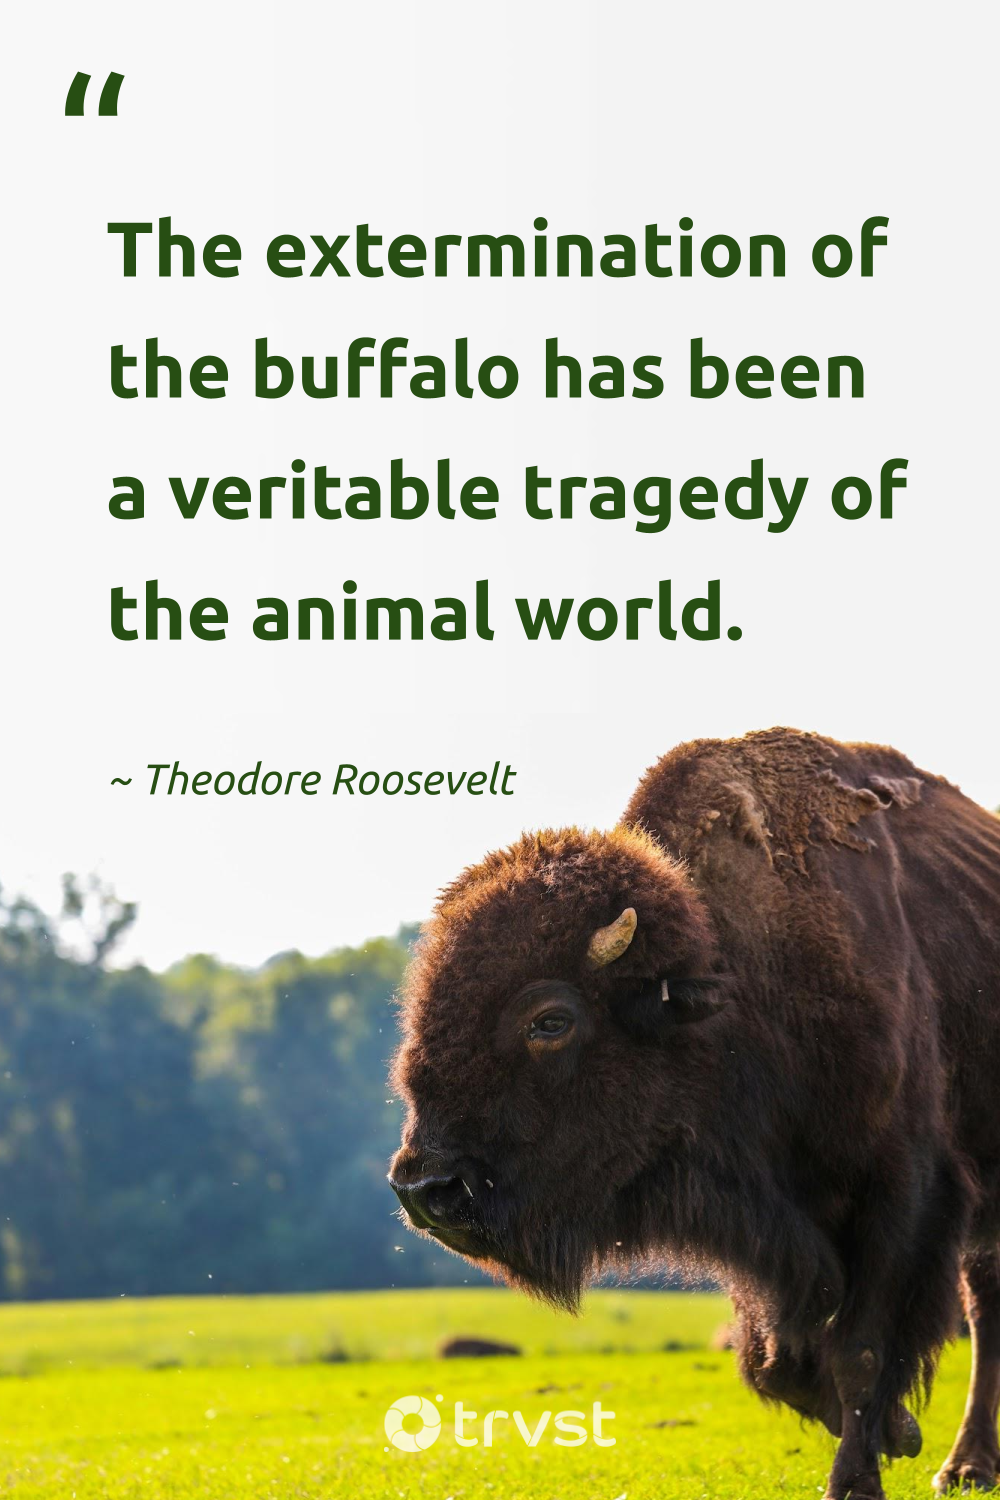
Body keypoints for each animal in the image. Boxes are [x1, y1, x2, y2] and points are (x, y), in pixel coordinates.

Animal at [389, 728, 1000, 1499]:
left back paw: (967, 1465)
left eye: (550, 1020)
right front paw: (896, 1430)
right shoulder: (774, 1227)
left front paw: (860, 1474)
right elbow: (778, 1359)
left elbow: (859, 1349)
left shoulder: (903, 1194)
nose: (424, 1188)